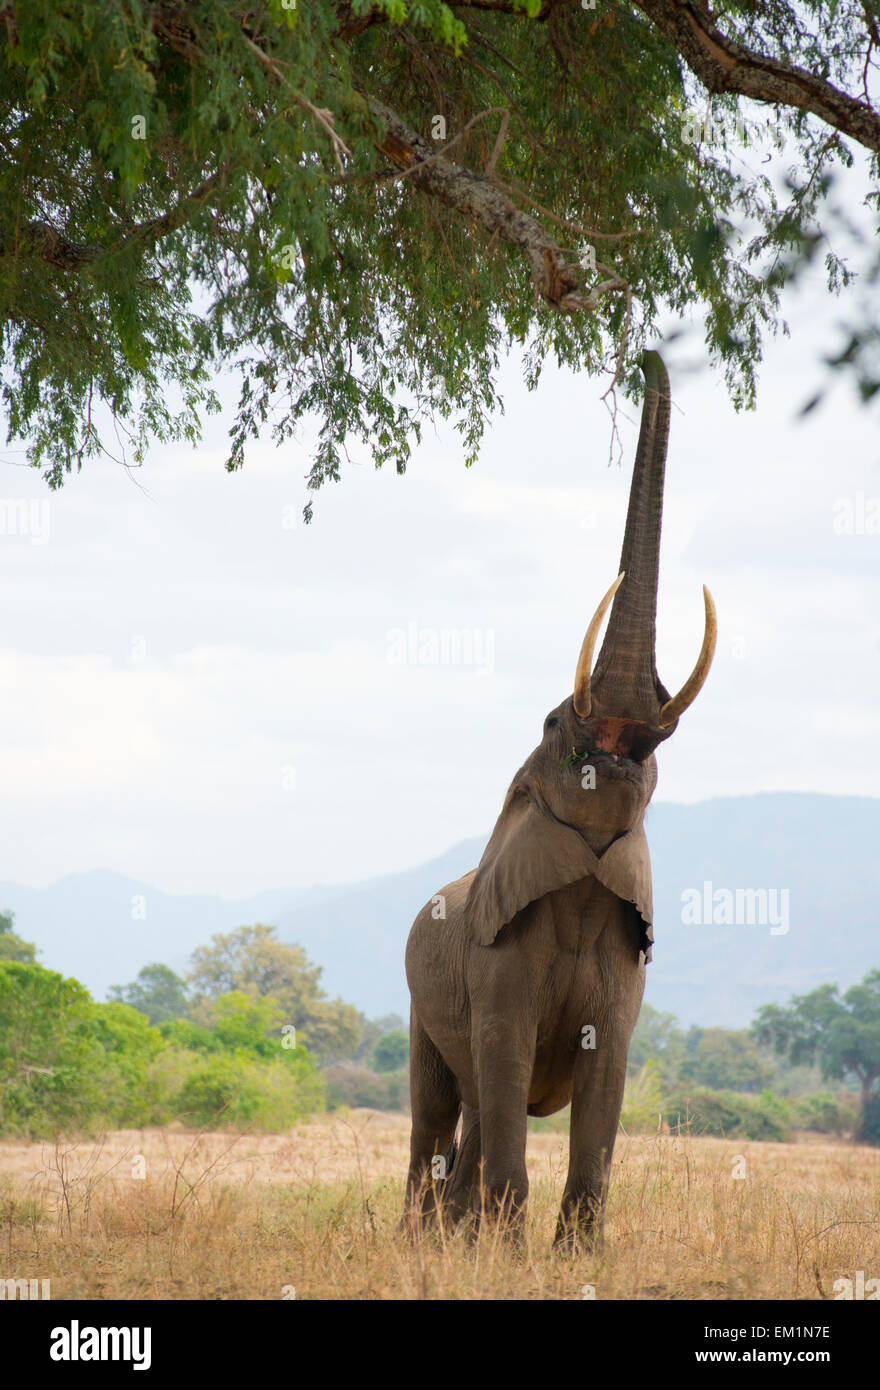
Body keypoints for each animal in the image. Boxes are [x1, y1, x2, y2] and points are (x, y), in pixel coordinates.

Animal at [404, 350, 717, 1249]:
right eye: (552, 722)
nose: (642, 353)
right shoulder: (495, 957)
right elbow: (505, 1057)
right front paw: (511, 1258)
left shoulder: (626, 961)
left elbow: (605, 1074)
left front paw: (578, 1255)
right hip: (419, 1002)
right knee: (439, 1110)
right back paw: (420, 1241)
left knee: (473, 1115)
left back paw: (455, 1238)